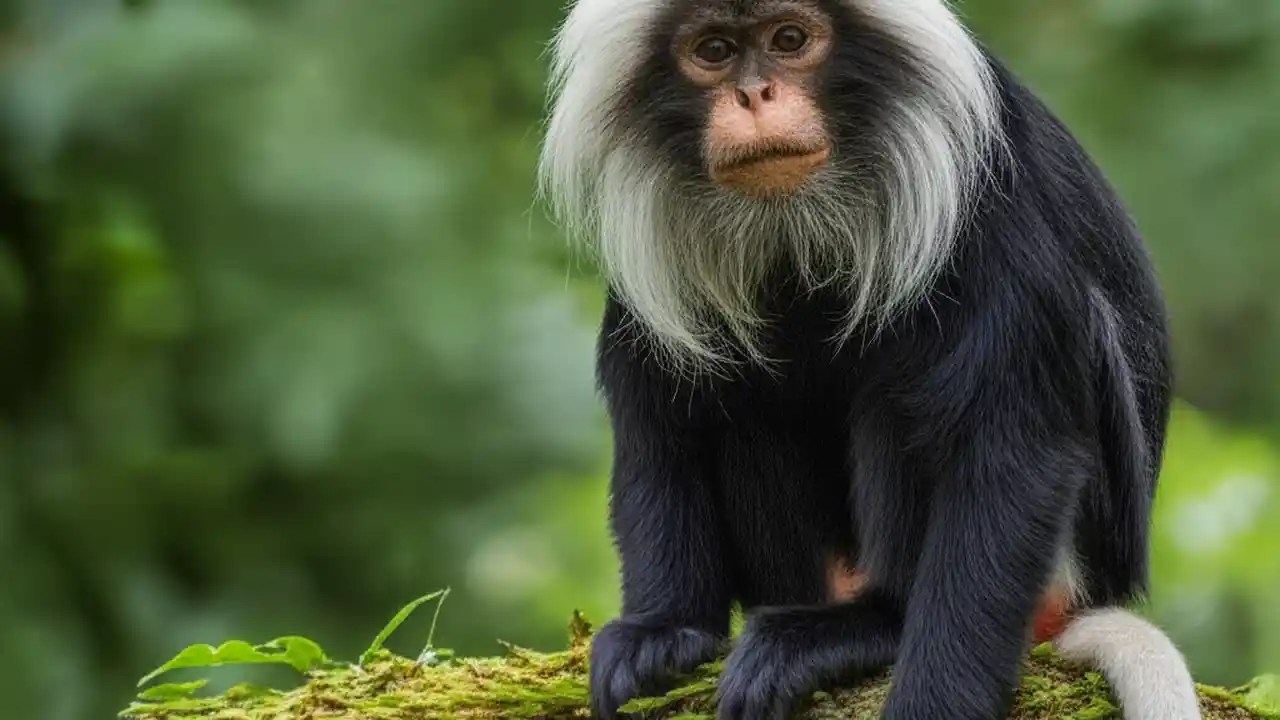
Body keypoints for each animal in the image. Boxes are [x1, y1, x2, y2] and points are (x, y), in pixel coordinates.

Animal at [539, 1, 1202, 719]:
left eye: (789, 39)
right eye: (714, 50)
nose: (754, 95)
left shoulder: (979, 191)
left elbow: (1013, 450)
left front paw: (932, 699)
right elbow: (659, 420)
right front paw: (666, 631)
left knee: (908, 393)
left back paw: (875, 622)